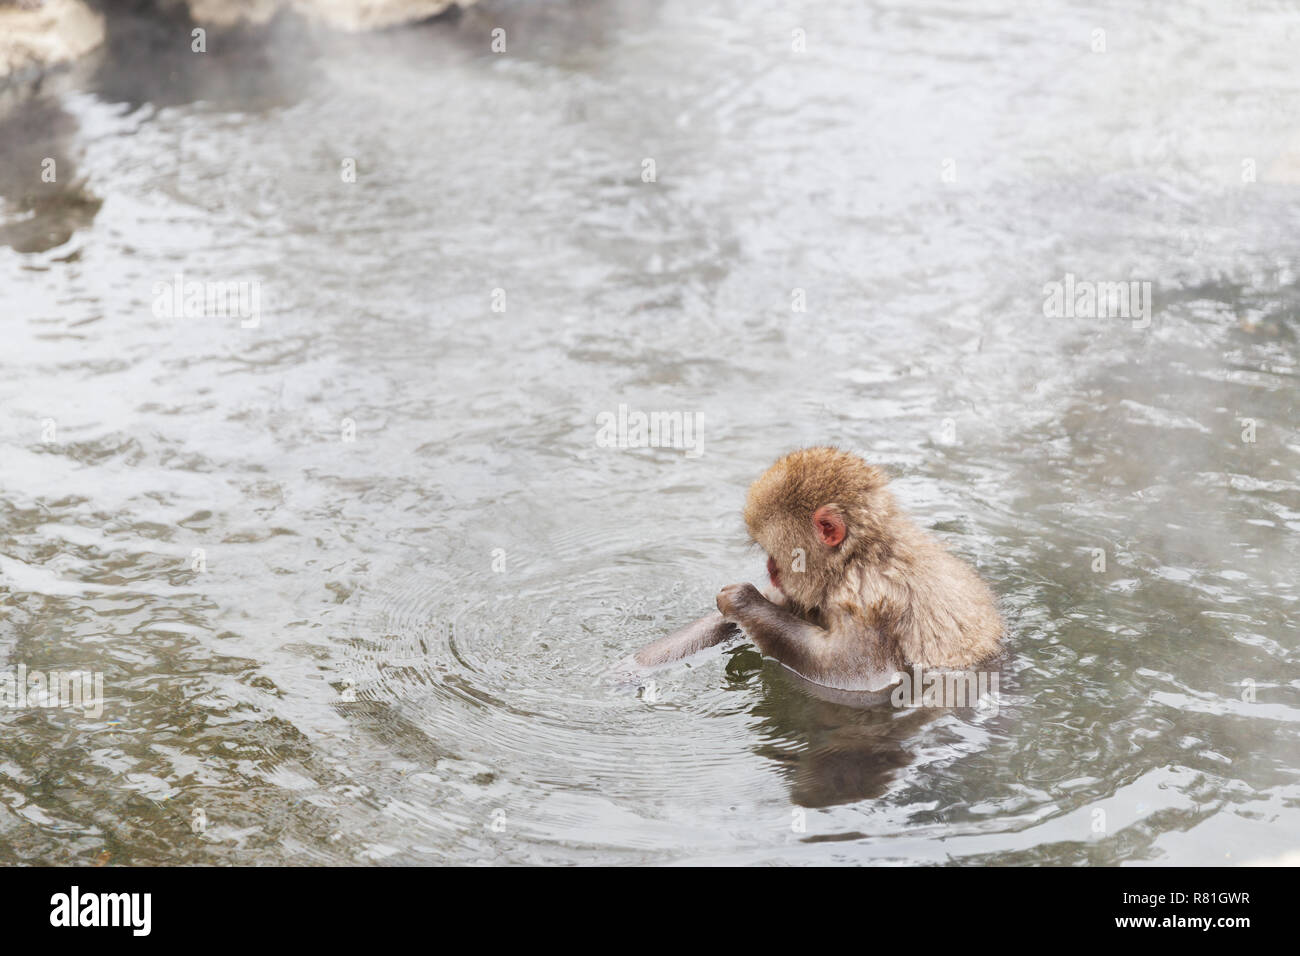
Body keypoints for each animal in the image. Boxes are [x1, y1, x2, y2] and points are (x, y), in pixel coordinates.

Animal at [634, 447, 1002, 691]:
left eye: (772, 553)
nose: (770, 569)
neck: (857, 556)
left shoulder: (865, 596)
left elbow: (856, 672)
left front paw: (743, 600)